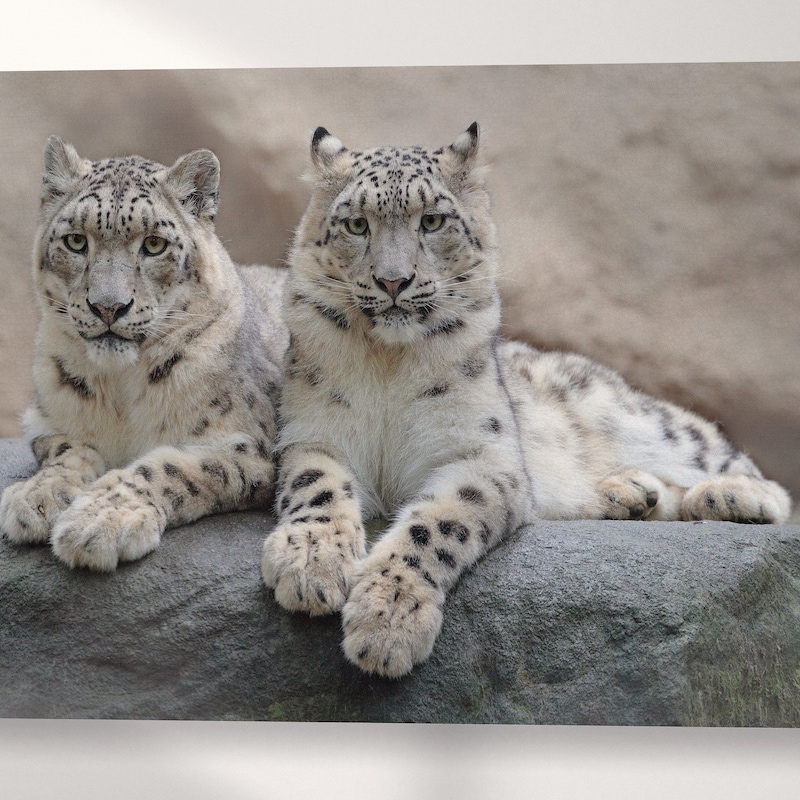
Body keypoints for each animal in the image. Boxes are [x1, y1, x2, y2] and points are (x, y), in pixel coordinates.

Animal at [0, 136, 288, 571]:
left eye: (154, 244)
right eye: (76, 240)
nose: (108, 307)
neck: (120, 390)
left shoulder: (251, 446)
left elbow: (172, 467)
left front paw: (99, 522)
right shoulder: (47, 420)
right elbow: (67, 450)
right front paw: (36, 497)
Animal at [261, 123, 792, 678]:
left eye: (431, 220)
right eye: (357, 224)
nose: (393, 280)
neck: (388, 363)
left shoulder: (482, 455)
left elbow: (436, 526)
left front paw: (387, 622)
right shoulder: (312, 433)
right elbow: (316, 488)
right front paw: (309, 564)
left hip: (635, 418)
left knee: (726, 457)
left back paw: (729, 496)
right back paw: (627, 493)